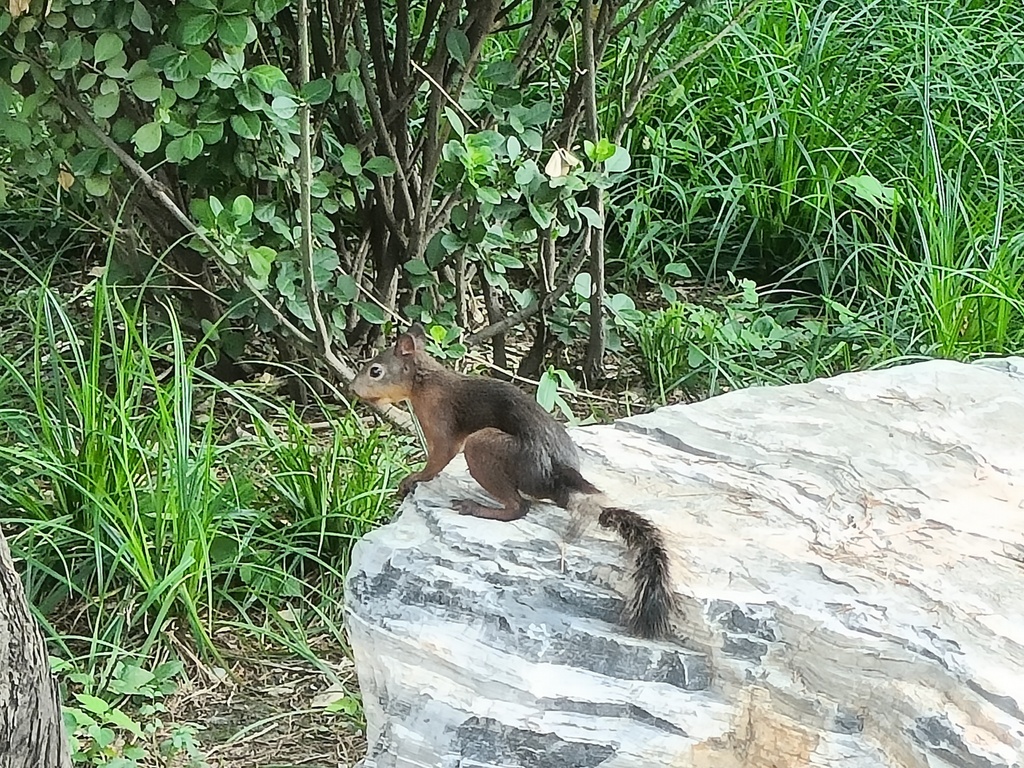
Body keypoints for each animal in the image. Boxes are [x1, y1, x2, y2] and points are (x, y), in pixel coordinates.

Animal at [350, 323, 676, 639]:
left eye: (375, 371)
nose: (352, 388)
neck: (425, 381)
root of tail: (554, 478)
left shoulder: (441, 424)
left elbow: (439, 458)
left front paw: (412, 479)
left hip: (484, 447)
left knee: (518, 508)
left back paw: (475, 507)